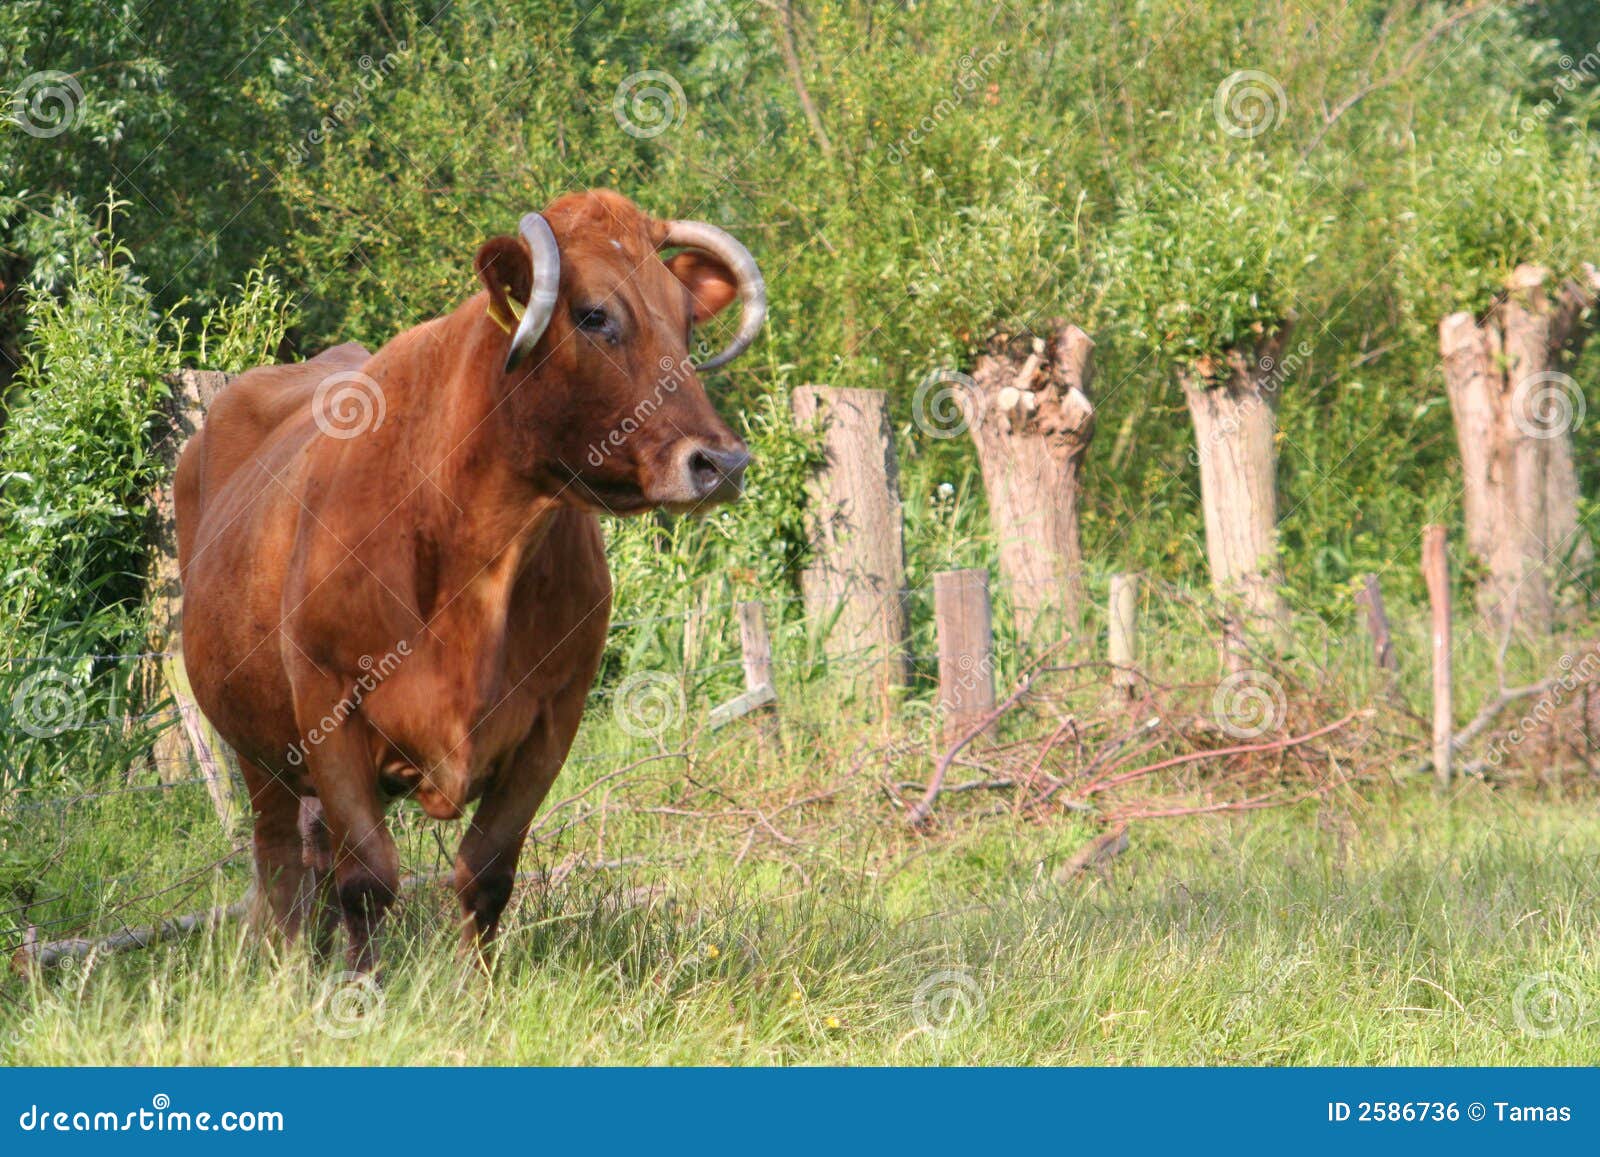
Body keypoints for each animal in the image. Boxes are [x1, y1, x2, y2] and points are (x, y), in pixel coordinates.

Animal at [175, 190, 765, 971]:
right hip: (255, 745)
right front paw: (361, 990)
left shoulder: (555, 717)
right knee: (281, 865)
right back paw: (287, 967)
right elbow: (368, 878)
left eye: (687, 317)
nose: (720, 463)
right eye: (594, 315)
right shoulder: (329, 705)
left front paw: (473, 985)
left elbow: (486, 871)